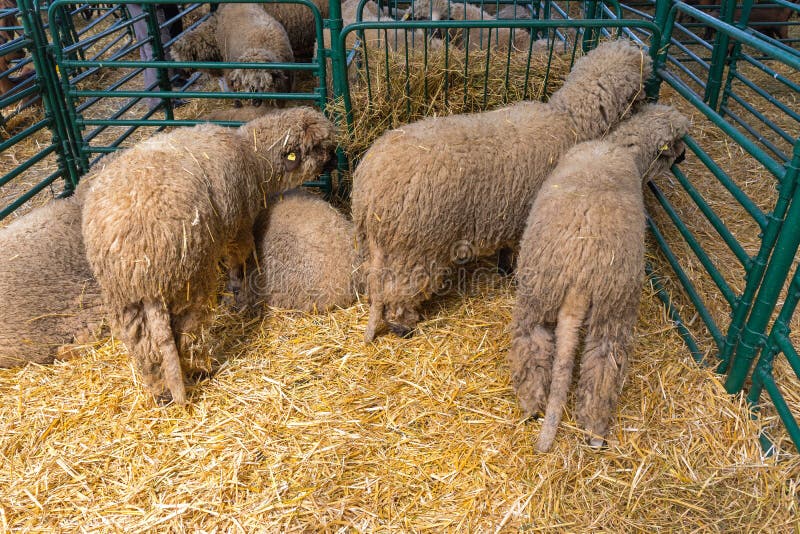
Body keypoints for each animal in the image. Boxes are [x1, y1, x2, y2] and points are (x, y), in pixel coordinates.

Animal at [82, 106, 338, 404]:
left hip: (125, 299)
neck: (253, 156)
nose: (335, 161)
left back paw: (161, 392)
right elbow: (237, 260)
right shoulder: (239, 225)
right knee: (187, 333)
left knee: (145, 348)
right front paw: (237, 287)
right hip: (187, 281)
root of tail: (142, 262)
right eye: (319, 148)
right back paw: (199, 371)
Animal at [352, 39, 651, 342]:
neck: (570, 119)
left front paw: (504, 268)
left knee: (373, 280)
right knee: (400, 290)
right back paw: (404, 326)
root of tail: (369, 190)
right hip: (415, 249)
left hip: (376, 245)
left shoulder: (516, 215)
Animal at [509, 104, 689, 452]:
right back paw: (594, 432)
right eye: (676, 143)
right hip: (613, 307)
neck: (620, 146)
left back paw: (531, 407)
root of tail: (579, 278)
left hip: (539, 290)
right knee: (604, 364)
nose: (684, 157)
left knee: (532, 344)